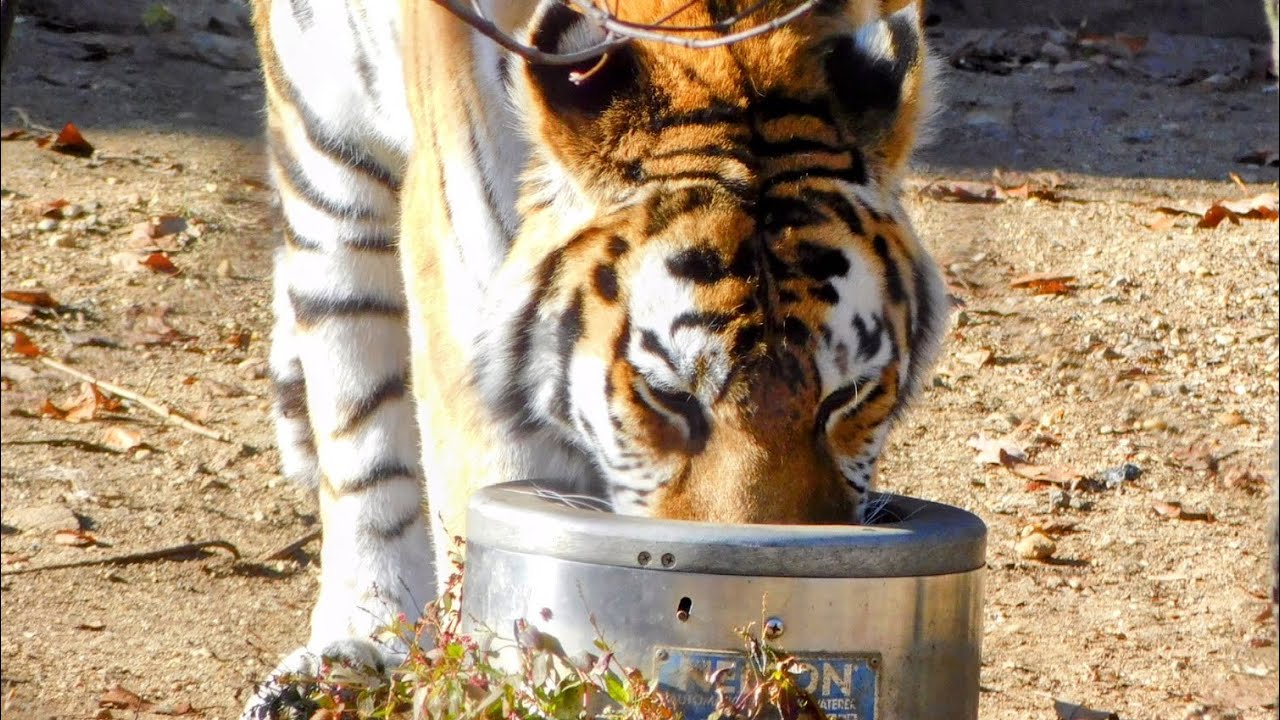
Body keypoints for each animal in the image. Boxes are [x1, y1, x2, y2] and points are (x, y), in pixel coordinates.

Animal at [242, 0, 945, 714]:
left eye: (848, 397)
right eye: (670, 397)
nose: (766, 607)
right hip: (328, 160)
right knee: (357, 414)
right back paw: (360, 639)